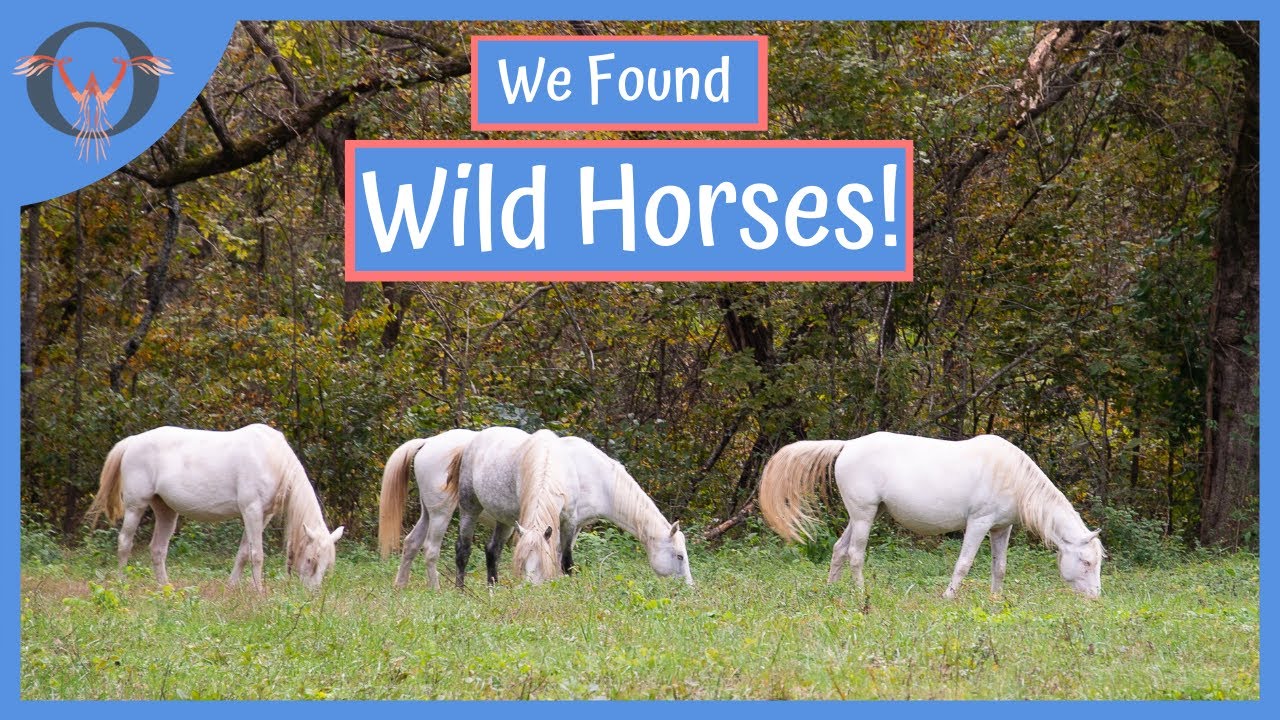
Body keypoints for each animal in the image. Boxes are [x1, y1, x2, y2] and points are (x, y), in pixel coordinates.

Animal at [86, 424, 344, 592]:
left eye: (327, 565)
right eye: (310, 560)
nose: (312, 594)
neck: (272, 459)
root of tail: (132, 441)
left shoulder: (263, 515)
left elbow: (243, 553)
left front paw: (231, 588)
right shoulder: (251, 511)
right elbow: (256, 554)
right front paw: (259, 592)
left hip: (166, 510)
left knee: (158, 549)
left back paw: (166, 588)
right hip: (135, 506)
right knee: (125, 543)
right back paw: (121, 583)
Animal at [759, 432, 1105, 598]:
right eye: (1086, 563)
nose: (1096, 598)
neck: (1014, 478)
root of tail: (847, 445)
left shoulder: (1001, 529)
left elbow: (1000, 567)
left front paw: (995, 600)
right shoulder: (978, 523)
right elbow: (964, 564)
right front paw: (948, 596)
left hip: (862, 515)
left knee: (839, 550)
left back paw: (832, 590)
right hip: (864, 515)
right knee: (856, 554)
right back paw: (861, 594)